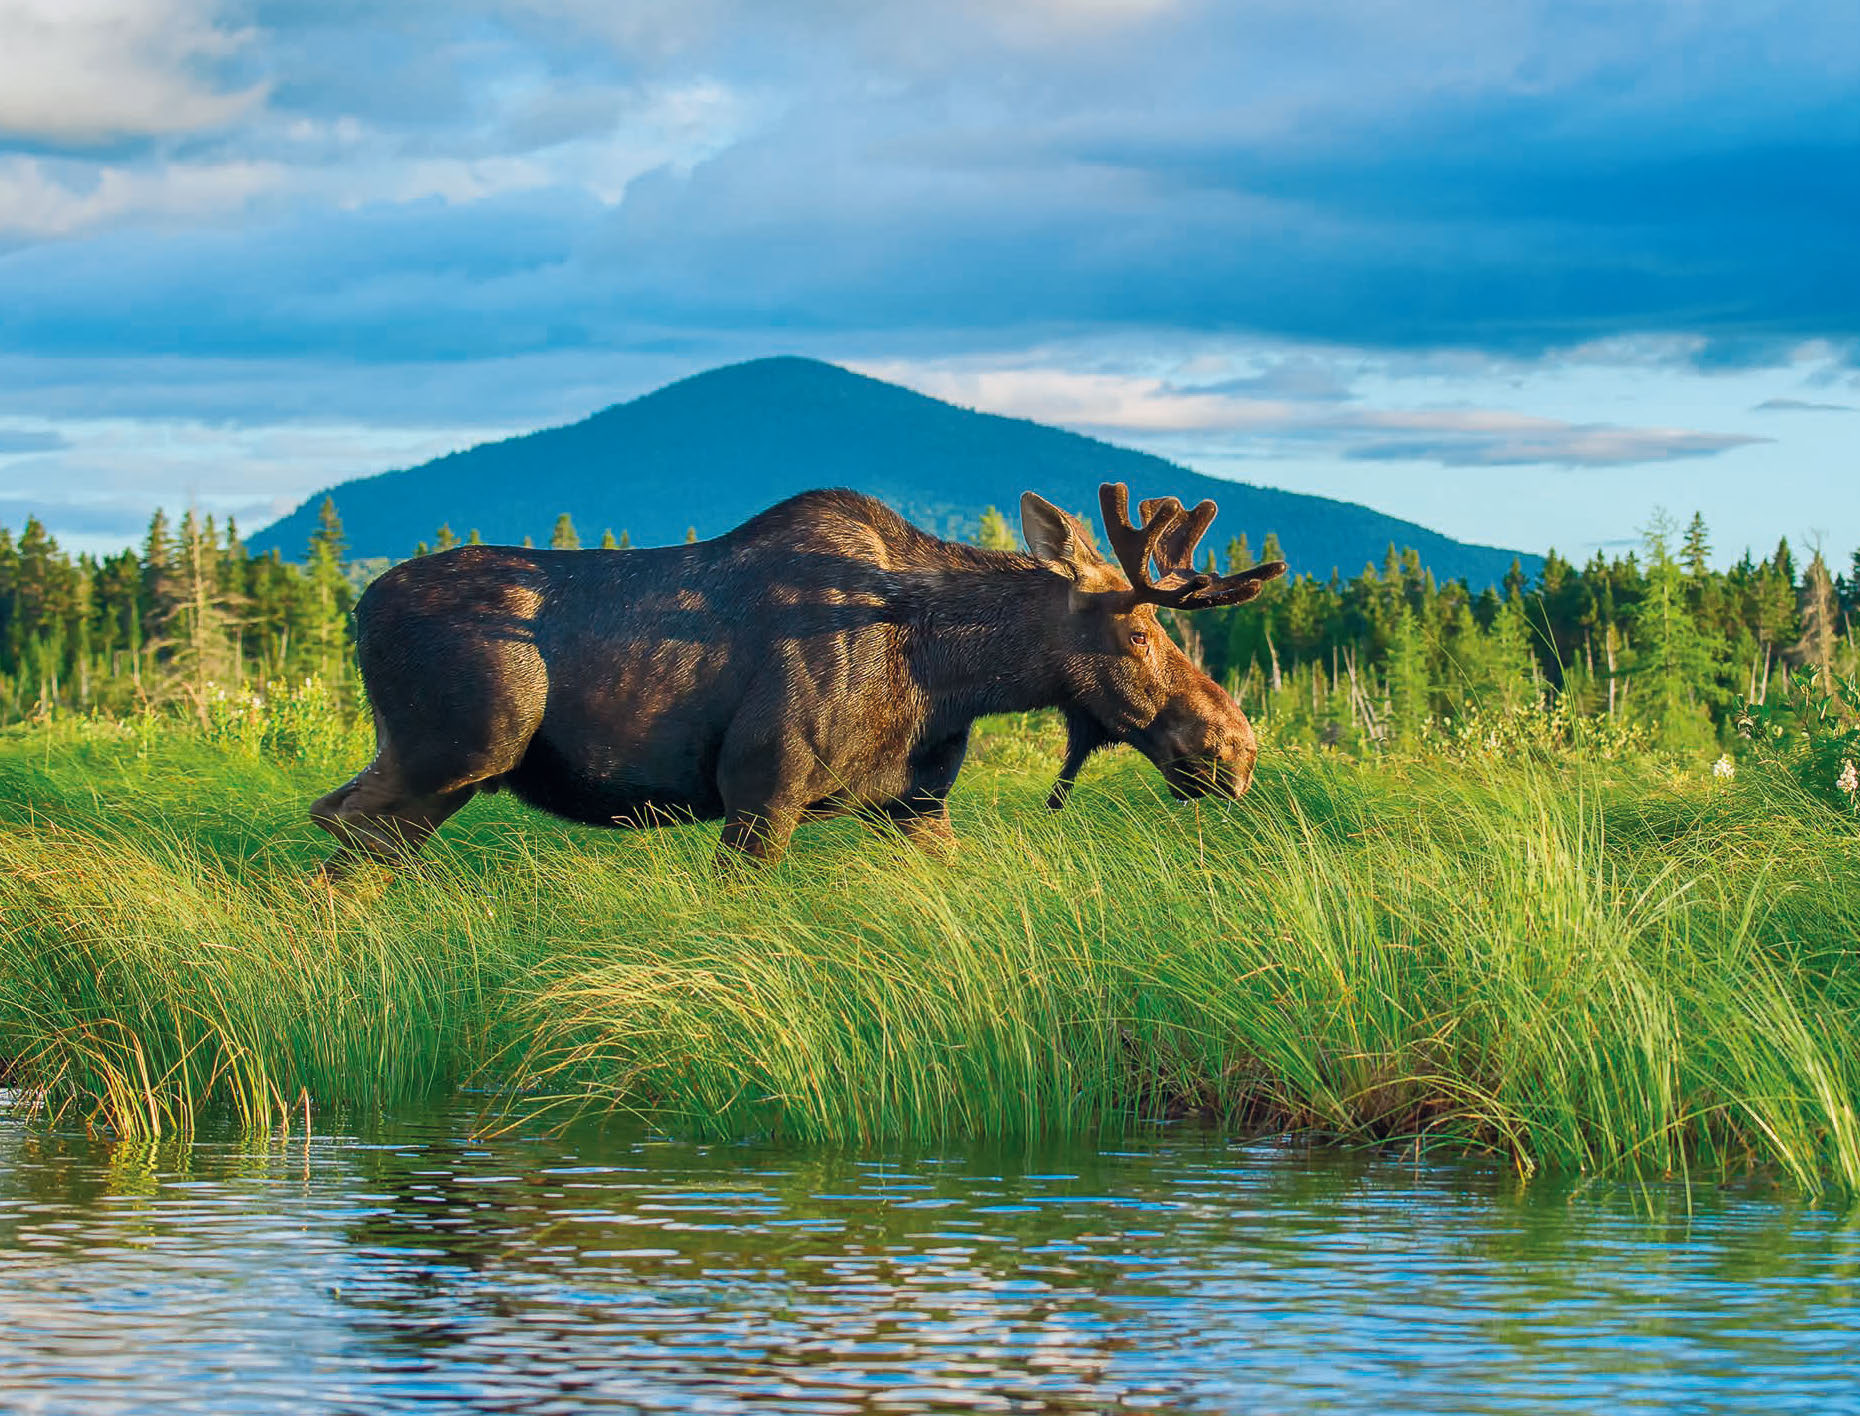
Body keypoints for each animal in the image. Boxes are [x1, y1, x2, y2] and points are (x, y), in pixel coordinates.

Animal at [310, 482, 1286, 874]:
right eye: (1138, 629)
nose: (1236, 749)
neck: (949, 673)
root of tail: (359, 609)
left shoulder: (912, 804)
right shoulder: (761, 791)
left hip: (427, 769)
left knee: (343, 828)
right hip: (457, 750)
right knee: (345, 833)